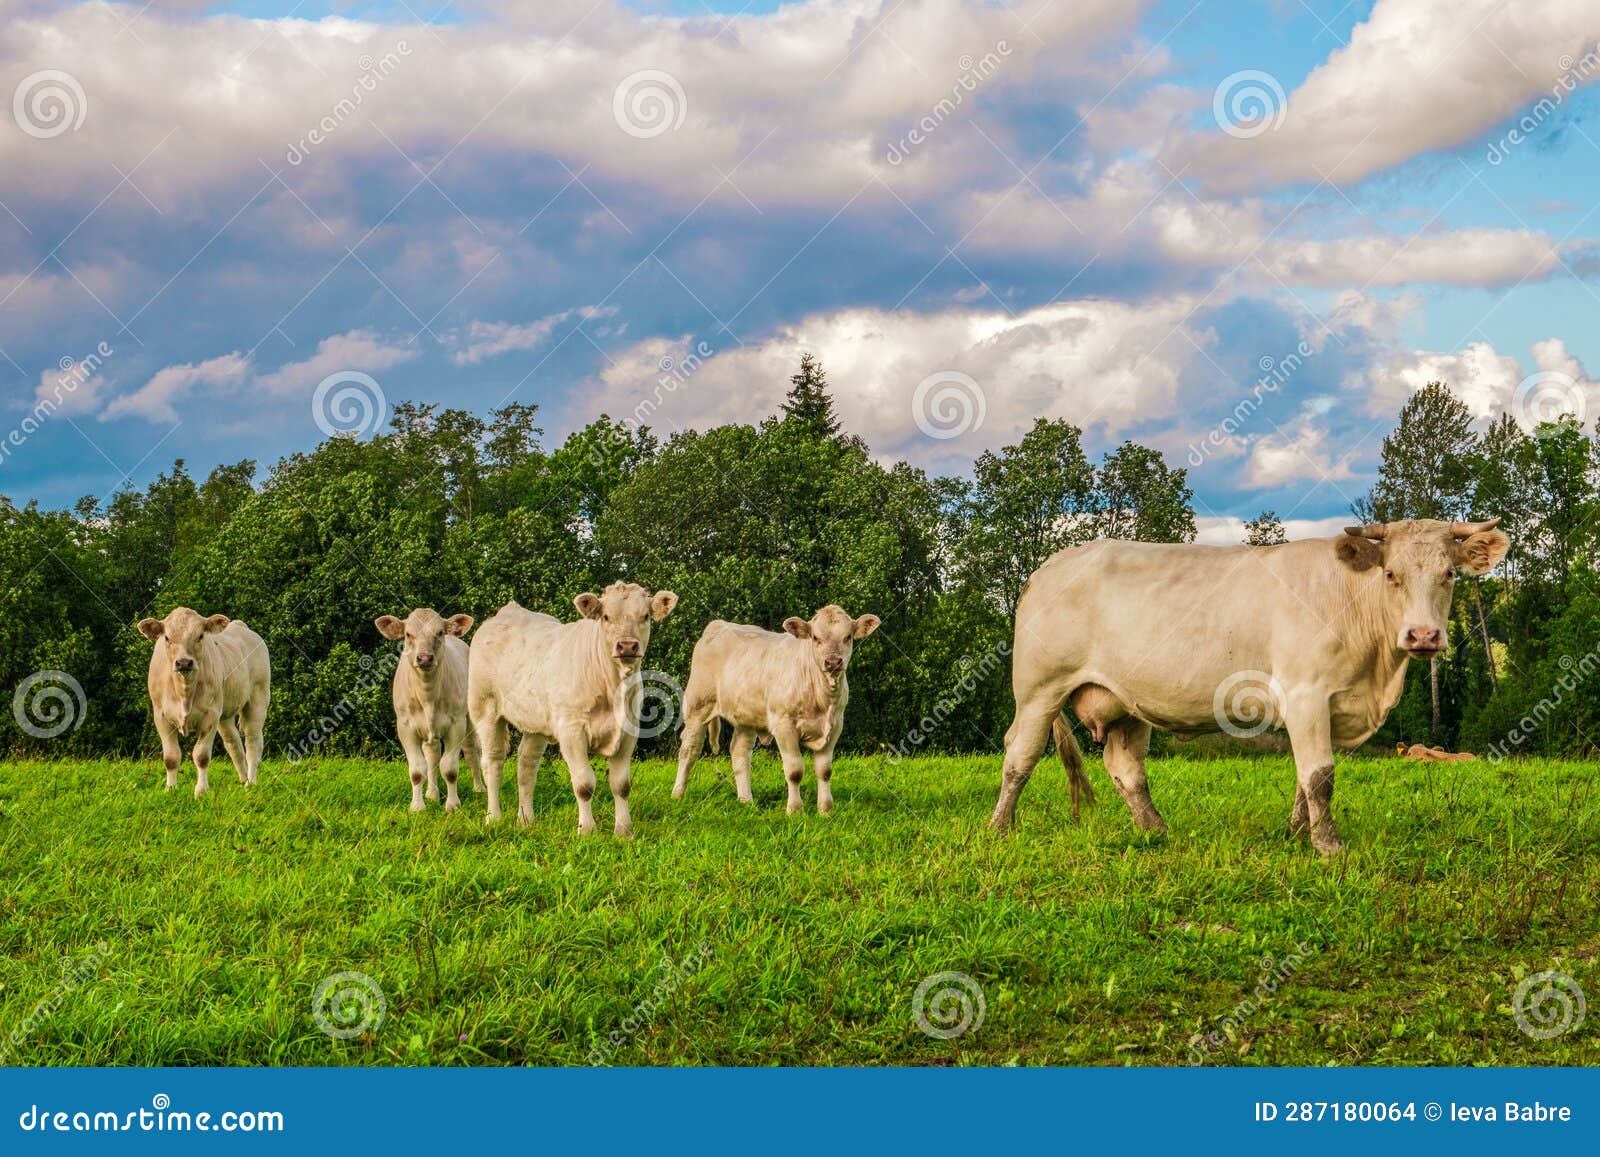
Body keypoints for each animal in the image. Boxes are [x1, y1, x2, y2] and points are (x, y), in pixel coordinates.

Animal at [136, 607, 271, 797]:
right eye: (167, 637)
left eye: (200, 636)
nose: (184, 662)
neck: (184, 691)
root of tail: (240, 626)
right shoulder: (161, 716)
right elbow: (171, 757)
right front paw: (170, 789)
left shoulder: (210, 716)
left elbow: (201, 756)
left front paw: (201, 791)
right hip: (225, 713)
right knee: (234, 744)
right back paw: (243, 779)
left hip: (258, 699)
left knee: (253, 743)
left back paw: (250, 783)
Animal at [374, 608, 484, 813]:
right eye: (408, 634)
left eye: (439, 632)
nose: (424, 657)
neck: (428, 697)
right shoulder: (405, 727)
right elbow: (417, 770)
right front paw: (417, 806)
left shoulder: (456, 725)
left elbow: (450, 769)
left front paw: (453, 805)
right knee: (432, 754)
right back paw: (432, 794)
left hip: (470, 719)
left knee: (473, 750)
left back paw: (479, 788)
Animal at [468, 582, 678, 837]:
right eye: (606, 617)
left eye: (645, 616)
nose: (627, 645)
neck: (612, 686)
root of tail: (507, 612)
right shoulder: (572, 731)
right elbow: (584, 784)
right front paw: (587, 831)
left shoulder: (629, 732)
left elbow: (621, 785)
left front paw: (624, 831)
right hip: (484, 709)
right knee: (493, 762)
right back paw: (493, 818)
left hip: (536, 723)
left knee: (526, 765)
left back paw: (526, 820)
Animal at [673, 606, 881, 814]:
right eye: (815, 637)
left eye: (848, 637)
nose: (832, 662)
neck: (822, 697)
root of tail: (719, 625)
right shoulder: (784, 725)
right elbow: (795, 770)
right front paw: (795, 809)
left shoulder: (835, 726)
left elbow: (824, 771)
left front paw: (825, 810)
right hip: (697, 707)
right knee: (689, 750)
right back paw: (678, 794)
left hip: (746, 715)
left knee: (739, 753)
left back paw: (746, 800)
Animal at [989, 517, 1510, 854]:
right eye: (1391, 574)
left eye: (1449, 574)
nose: (1423, 636)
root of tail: (1049, 565)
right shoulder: (1305, 692)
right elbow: (1320, 775)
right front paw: (1329, 845)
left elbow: (1305, 776)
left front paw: (1297, 834)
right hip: (1039, 690)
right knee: (1019, 756)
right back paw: (1000, 829)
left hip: (1124, 700)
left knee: (1125, 768)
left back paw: (1157, 831)